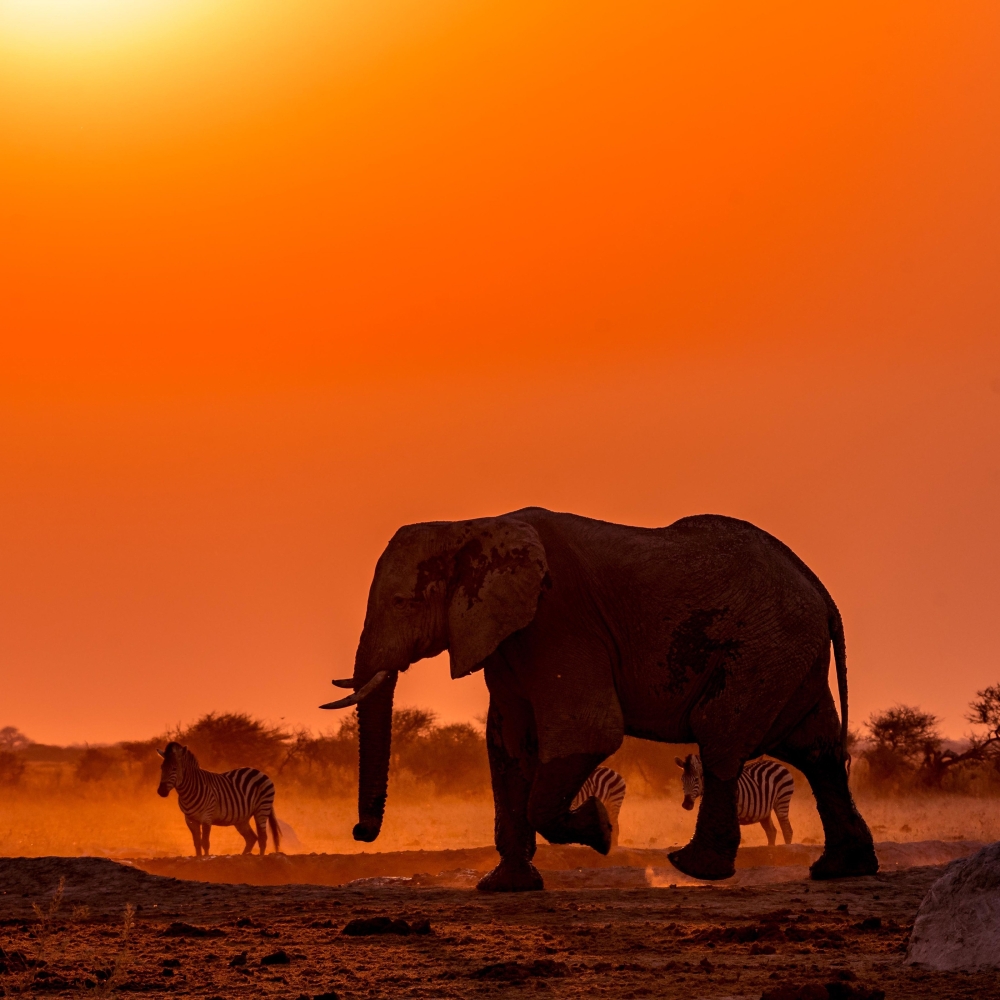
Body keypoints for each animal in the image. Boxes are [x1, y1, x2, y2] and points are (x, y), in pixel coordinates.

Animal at [322, 508, 877, 891]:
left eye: (402, 602)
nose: (359, 831)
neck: (471, 526)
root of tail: (819, 588)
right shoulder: (508, 636)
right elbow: (507, 747)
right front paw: (504, 888)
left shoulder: (558, 619)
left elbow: (589, 731)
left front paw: (602, 830)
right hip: (789, 654)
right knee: (817, 750)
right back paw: (841, 869)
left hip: (763, 647)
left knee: (721, 735)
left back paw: (694, 867)